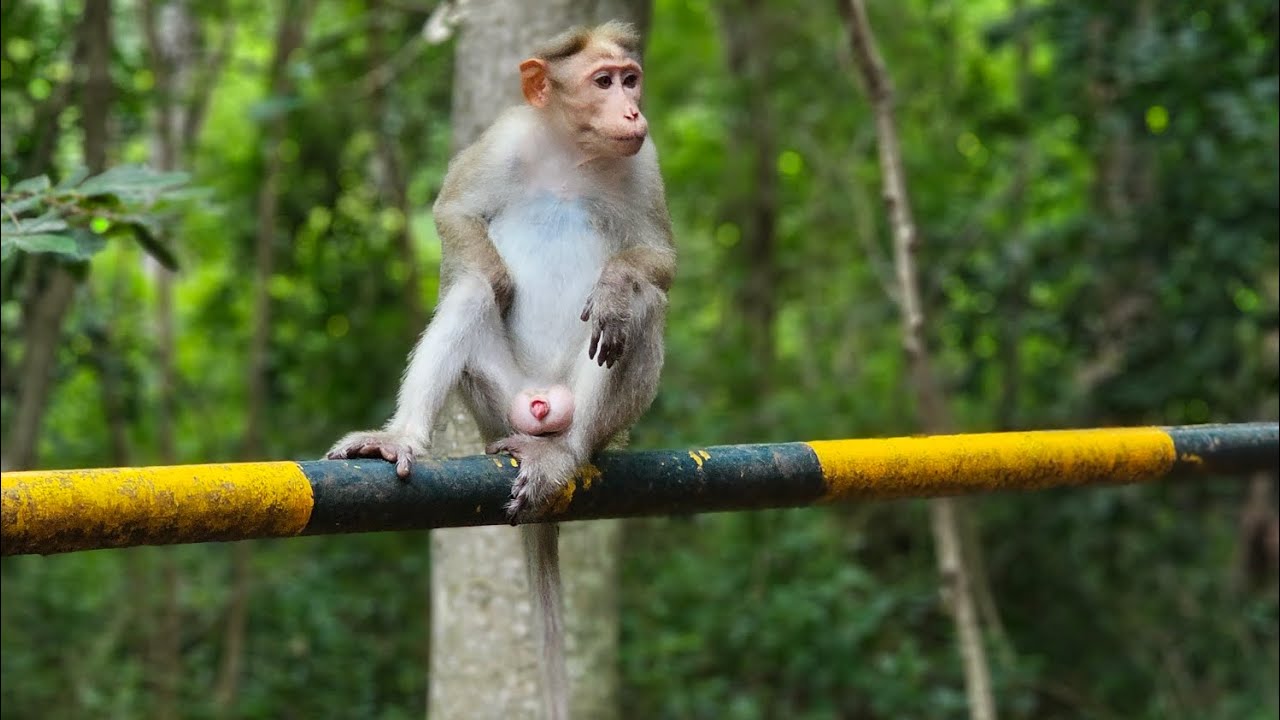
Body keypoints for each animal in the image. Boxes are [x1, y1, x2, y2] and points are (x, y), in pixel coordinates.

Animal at [326, 21, 674, 720]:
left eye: (630, 79)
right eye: (604, 81)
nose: (632, 110)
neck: (572, 152)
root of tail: (537, 406)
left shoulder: (644, 160)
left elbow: (659, 261)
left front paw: (616, 288)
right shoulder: (506, 138)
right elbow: (455, 213)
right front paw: (498, 279)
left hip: (580, 413)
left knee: (641, 314)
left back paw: (564, 452)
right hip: (496, 399)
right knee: (469, 294)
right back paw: (399, 438)